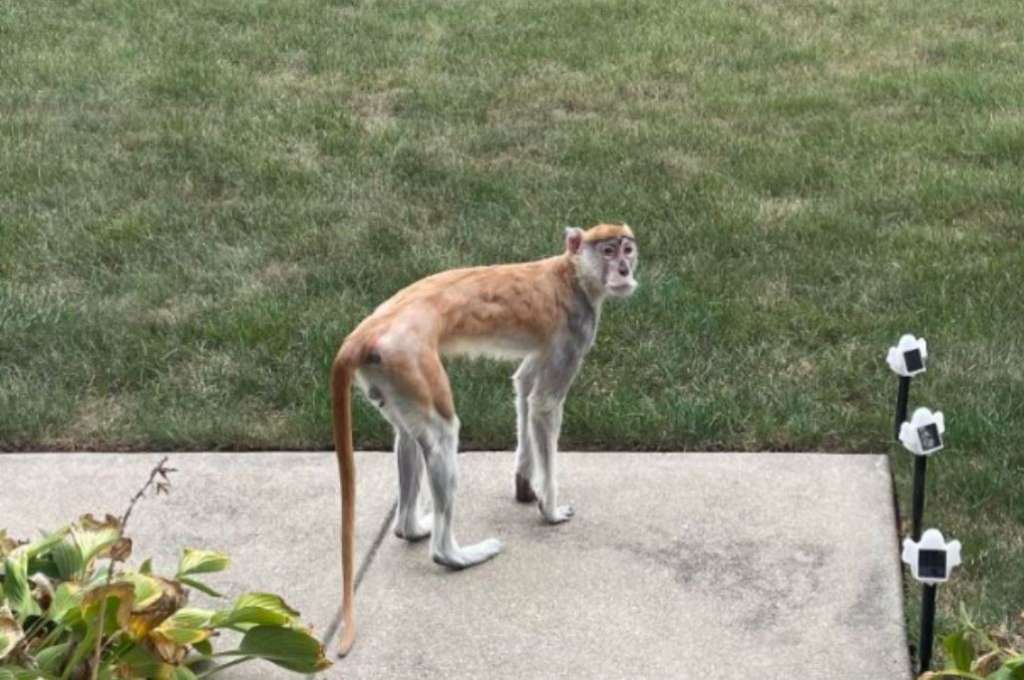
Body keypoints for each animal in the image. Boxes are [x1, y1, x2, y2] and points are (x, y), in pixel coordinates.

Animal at [330, 222, 639, 655]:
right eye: (608, 251)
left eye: (628, 248)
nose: (624, 269)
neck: (572, 273)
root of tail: (365, 334)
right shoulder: (575, 329)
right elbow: (544, 404)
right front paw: (550, 509)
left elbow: (524, 386)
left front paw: (525, 482)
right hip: (410, 361)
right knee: (443, 435)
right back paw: (453, 554)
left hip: (388, 374)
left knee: (408, 437)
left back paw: (411, 527)